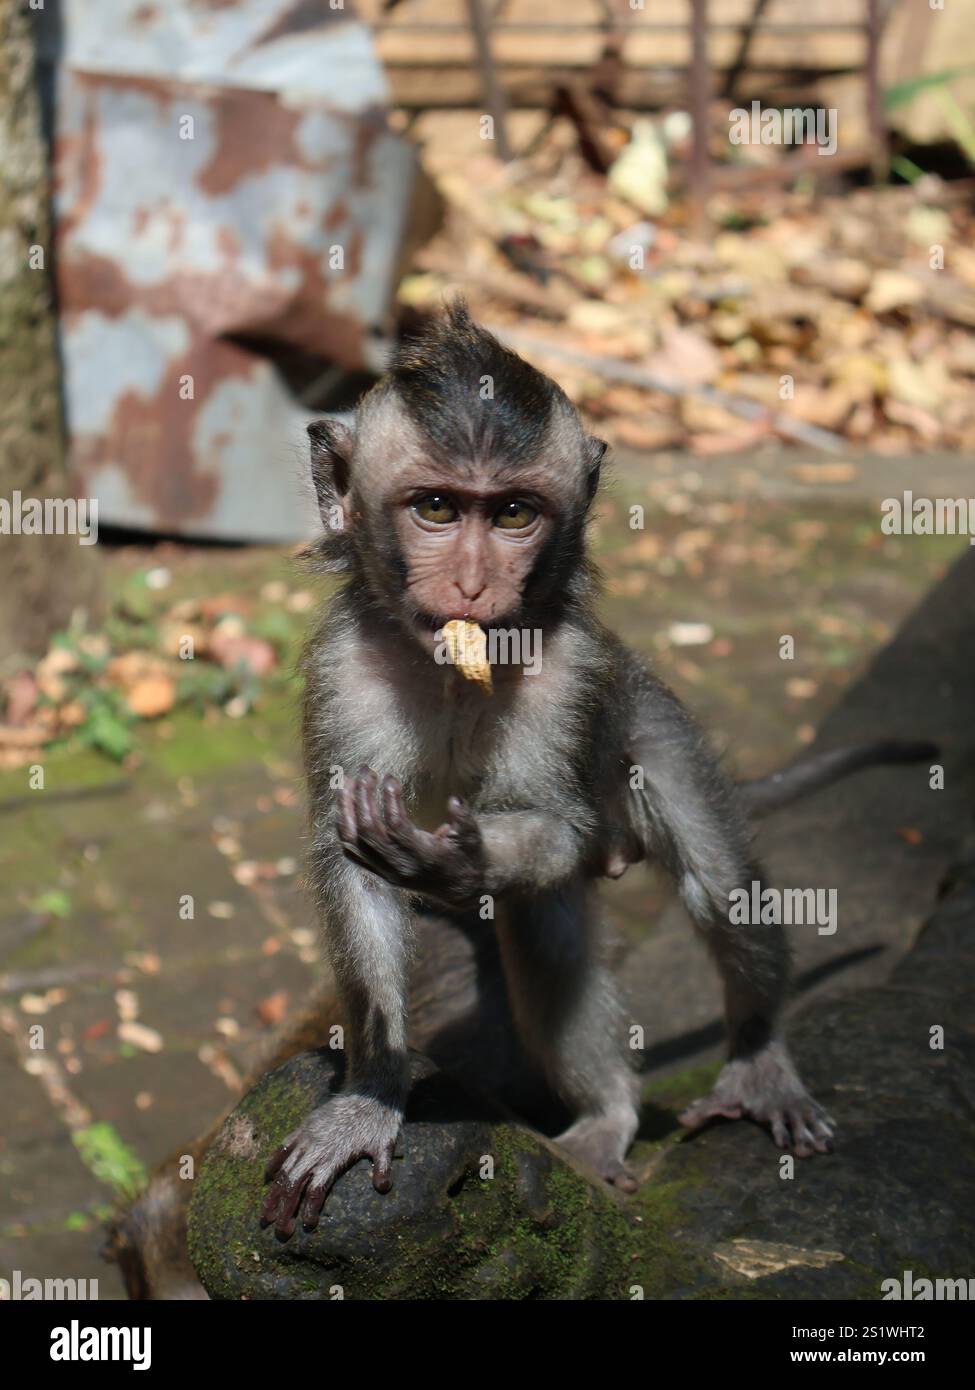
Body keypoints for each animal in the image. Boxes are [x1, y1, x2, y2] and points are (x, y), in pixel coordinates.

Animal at [257, 301, 932, 1237]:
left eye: (513, 515)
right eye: (435, 507)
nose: (473, 586)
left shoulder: (571, 670)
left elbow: (555, 820)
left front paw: (450, 857)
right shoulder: (341, 669)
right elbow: (346, 860)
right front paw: (371, 1093)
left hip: (648, 722)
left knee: (704, 886)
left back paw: (739, 1063)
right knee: (546, 925)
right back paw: (608, 1108)